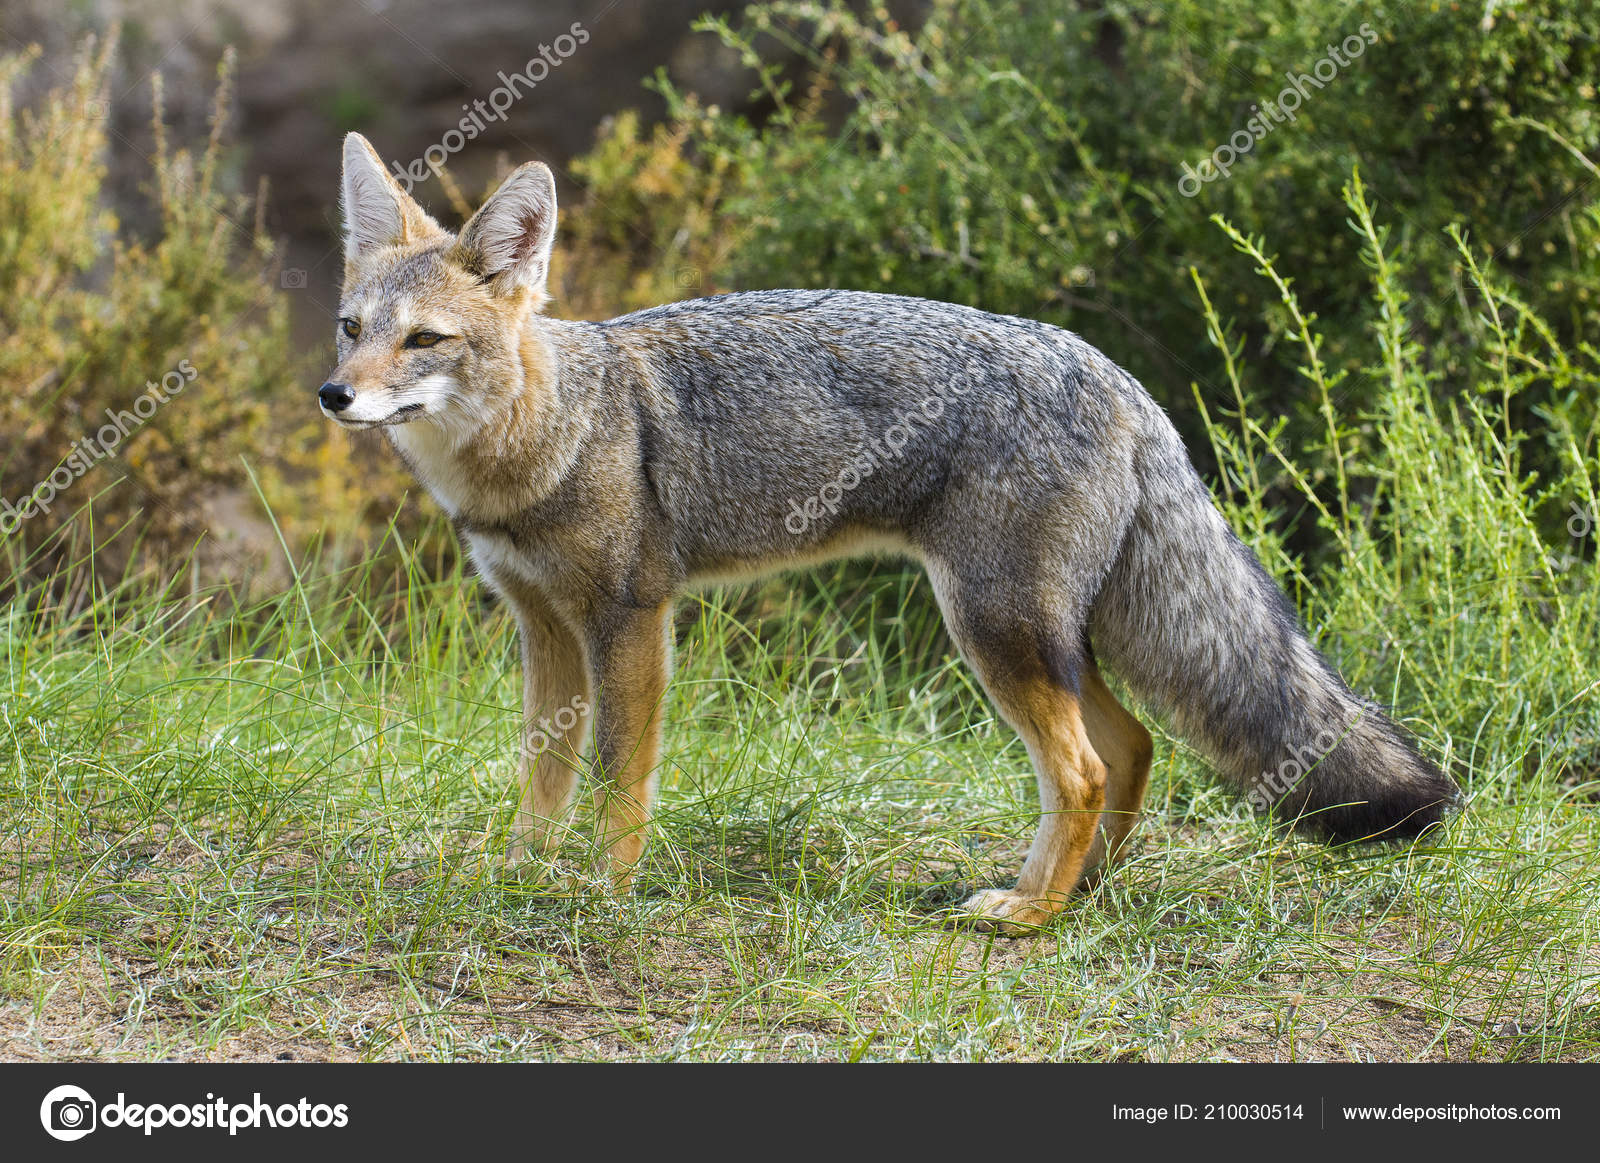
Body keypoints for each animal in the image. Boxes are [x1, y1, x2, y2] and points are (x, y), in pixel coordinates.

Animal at [320, 132, 1459, 931]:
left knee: (1085, 768)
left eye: (424, 342)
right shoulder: (543, 627)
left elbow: (617, 774)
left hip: (994, 629)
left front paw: (604, 888)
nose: (334, 394)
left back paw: (1029, 913)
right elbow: (543, 773)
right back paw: (1083, 890)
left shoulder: (631, 618)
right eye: (351, 328)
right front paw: (517, 872)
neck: (546, 437)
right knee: (1129, 746)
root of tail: (1116, 375)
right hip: (1040, 634)